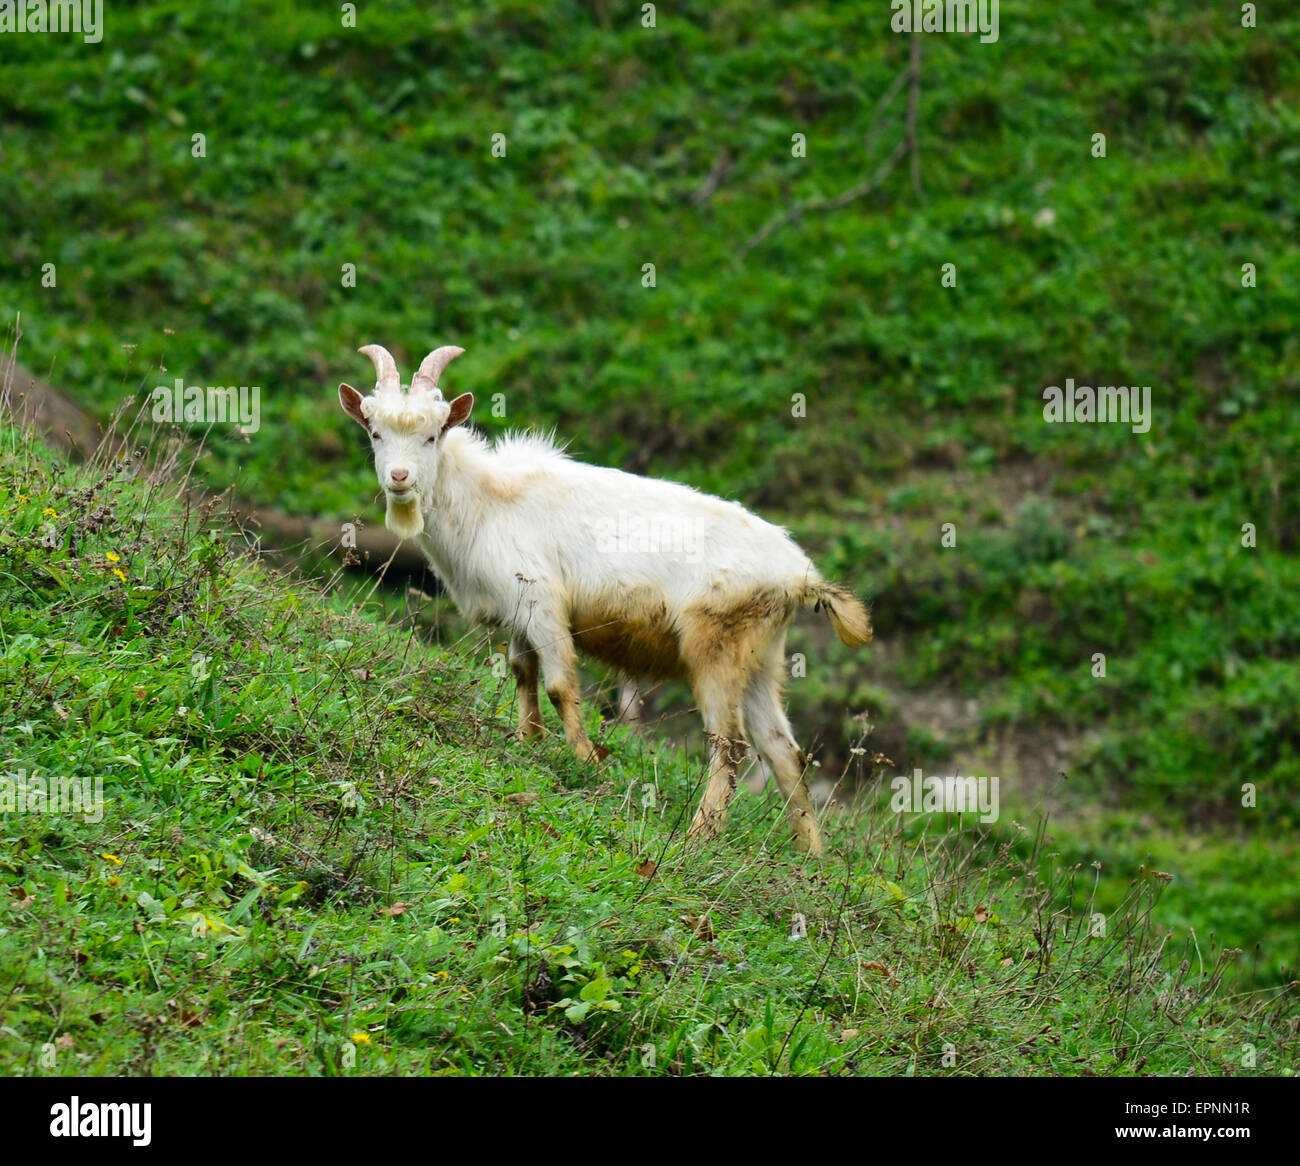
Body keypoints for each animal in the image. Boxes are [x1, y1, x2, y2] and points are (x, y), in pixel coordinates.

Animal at [338, 344, 872, 854]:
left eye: (432, 435)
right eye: (375, 433)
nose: (400, 478)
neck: (487, 499)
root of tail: (797, 573)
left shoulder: (543, 602)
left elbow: (559, 685)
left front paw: (585, 758)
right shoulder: (518, 612)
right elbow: (522, 672)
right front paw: (529, 739)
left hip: (716, 642)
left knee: (731, 743)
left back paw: (700, 834)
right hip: (761, 655)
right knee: (783, 749)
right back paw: (811, 857)